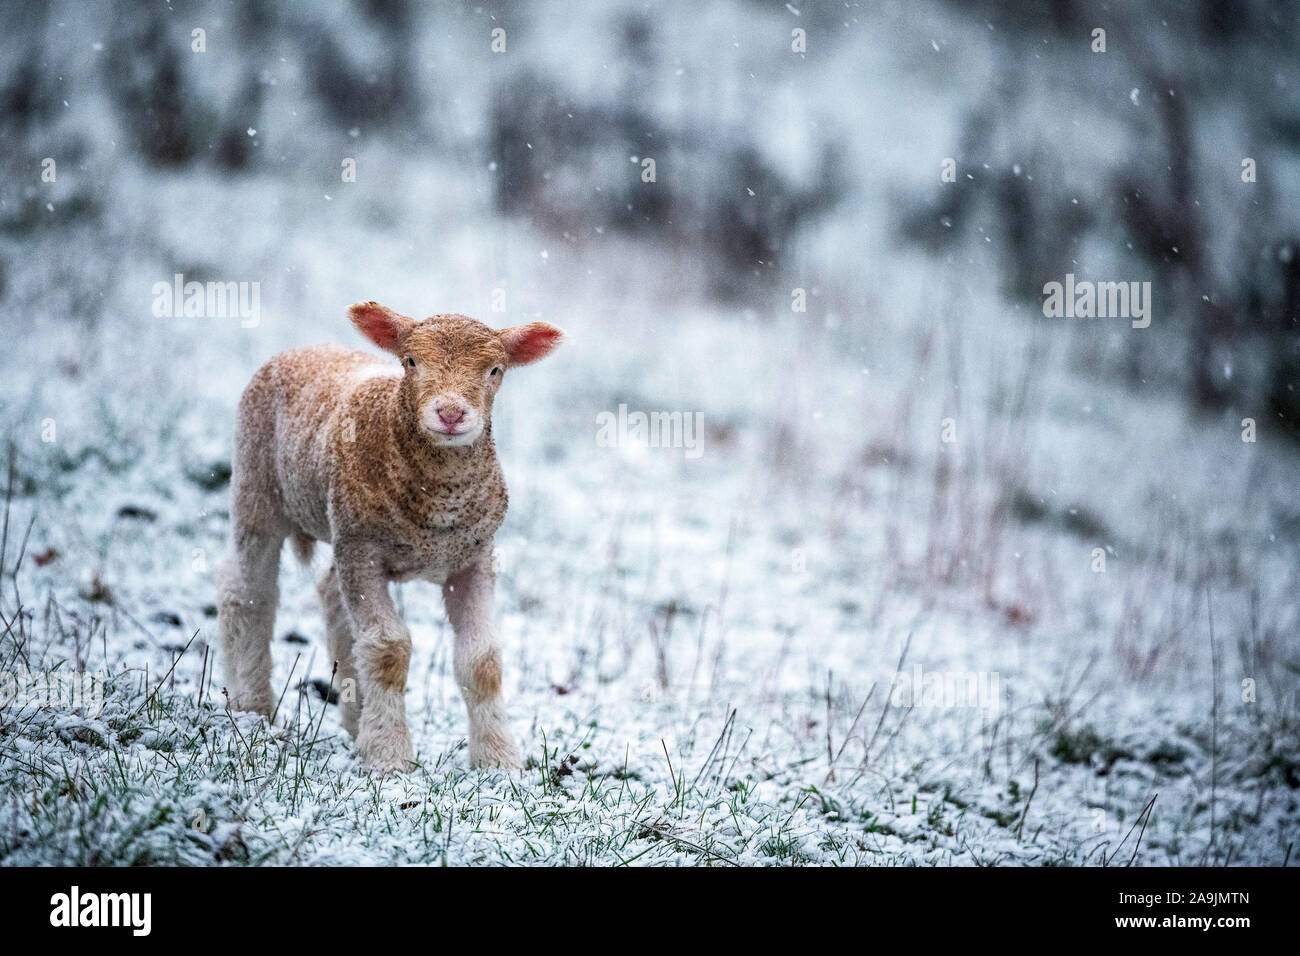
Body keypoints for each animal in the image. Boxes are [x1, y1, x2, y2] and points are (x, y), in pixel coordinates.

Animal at [218, 301, 562, 772]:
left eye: (495, 370)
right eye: (411, 362)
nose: (451, 414)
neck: (437, 503)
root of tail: (303, 349)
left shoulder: (474, 556)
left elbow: (482, 659)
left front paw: (498, 759)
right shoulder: (363, 550)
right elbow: (388, 649)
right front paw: (388, 754)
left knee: (332, 598)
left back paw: (353, 717)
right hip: (259, 486)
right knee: (248, 593)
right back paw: (252, 704)